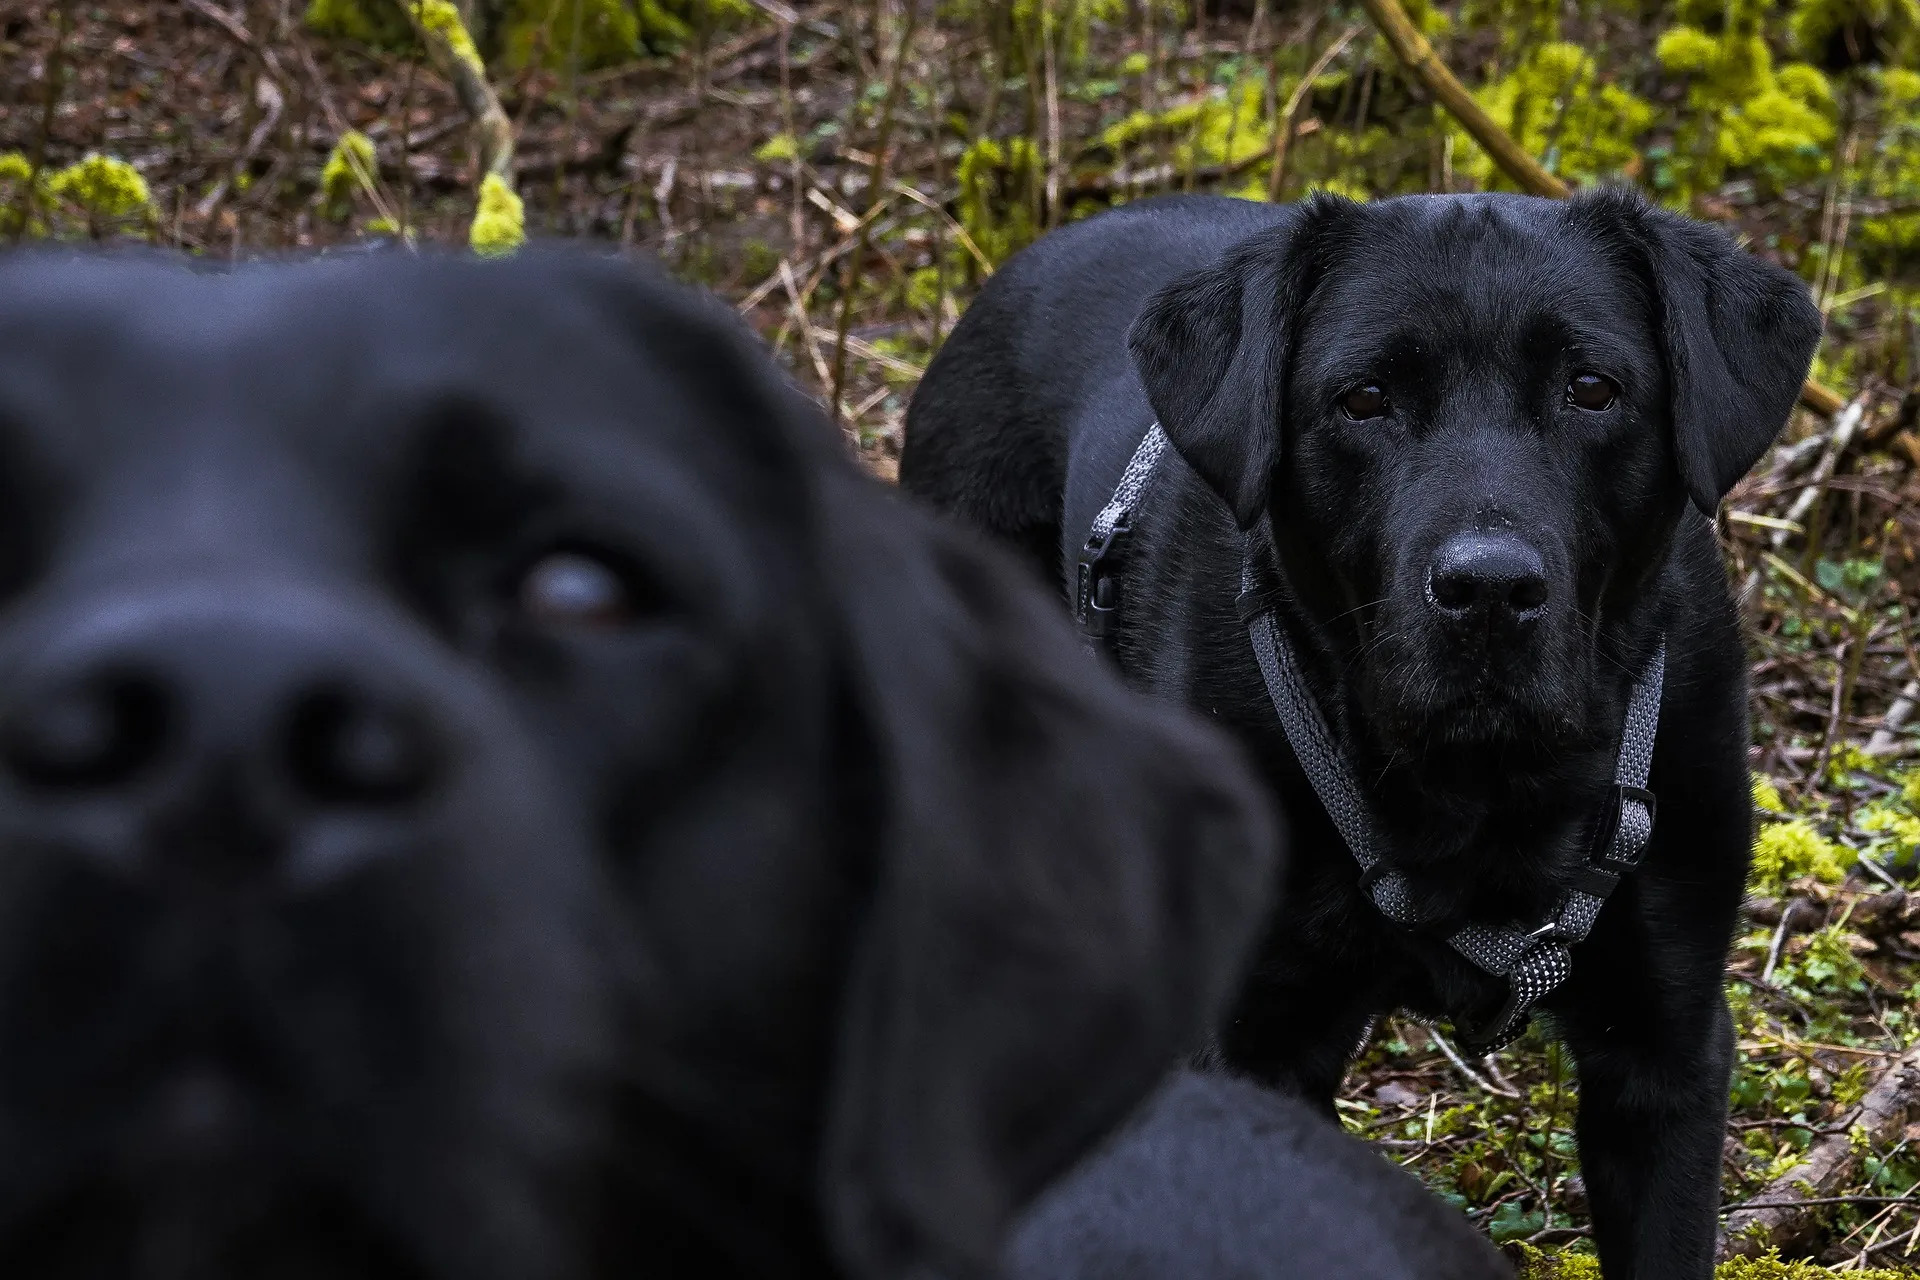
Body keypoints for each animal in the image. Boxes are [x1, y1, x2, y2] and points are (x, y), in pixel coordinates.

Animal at [898, 185, 1827, 1274]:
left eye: (1593, 388)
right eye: (1365, 398)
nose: (1488, 589)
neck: (1482, 788)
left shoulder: (1665, 1043)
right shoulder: (1252, 1039)